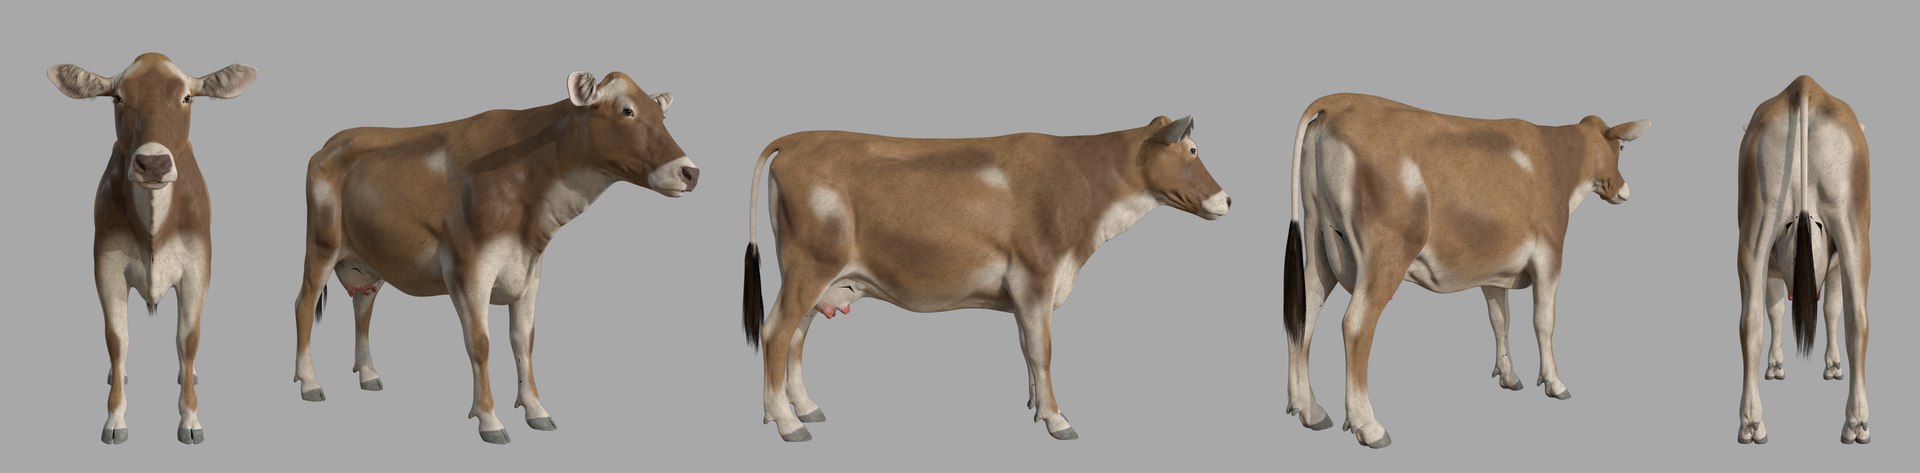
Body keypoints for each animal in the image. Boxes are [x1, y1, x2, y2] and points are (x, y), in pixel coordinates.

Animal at [47, 53, 257, 445]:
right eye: (118, 98)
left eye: (186, 98)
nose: (154, 164)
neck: (154, 228)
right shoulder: (107, 268)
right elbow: (117, 339)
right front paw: (115, 418)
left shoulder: (197, 270)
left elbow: (188, 339)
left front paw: (190, 419)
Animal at [290, 71, 697, 444]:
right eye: (627, 110)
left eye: (661, 116)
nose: (690, 172)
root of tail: (332, 142)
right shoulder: (468, 271)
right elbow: (480, 343)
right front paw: (489, 419)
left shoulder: (529, 271)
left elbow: (523, 340)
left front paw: (536, 410)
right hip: (321, 245)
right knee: (304, 304)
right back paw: (309, 382)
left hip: (366, 261)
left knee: (363, 306)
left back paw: (369, 374)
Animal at [740, 116, 1230, 441]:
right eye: (1192, 151)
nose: (1227, 199)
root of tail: (798, 138)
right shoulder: (1037, 275)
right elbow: (1043, 349)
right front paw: (1057, 419)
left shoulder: (1022, 292)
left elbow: (1027, 349)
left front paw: (1034, 406)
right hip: (809, 267)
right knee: (776, 331)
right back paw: (786, 422)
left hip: (819, 279)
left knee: (796, 337)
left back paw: (805, 408)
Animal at [1282, 93, 1650, 448]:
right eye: (1621, 147)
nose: (1624, 189)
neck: (1555, 157)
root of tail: (1336, 101)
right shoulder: (1550, 255)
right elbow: (1544, 322)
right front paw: (1555, 383)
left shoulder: (1494, 268)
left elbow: (1500, 319)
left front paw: (1508, 375)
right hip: (1384, 257)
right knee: (1355, 325)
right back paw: (1368, 427)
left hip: (1318, 244)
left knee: (1304, 315)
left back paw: (1310, 411)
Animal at [1733, 76, 1870, 445]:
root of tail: (1804, 87)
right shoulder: (1831, 269)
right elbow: (1831, 308)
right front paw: (1830, 365)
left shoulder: (1773, 269)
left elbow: (1778, 309)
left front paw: (1778, 365)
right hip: (1854, 229)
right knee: (1857, 318)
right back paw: (1857, 423)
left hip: (1757, 225)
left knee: (1750, 319)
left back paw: (1751, 423)